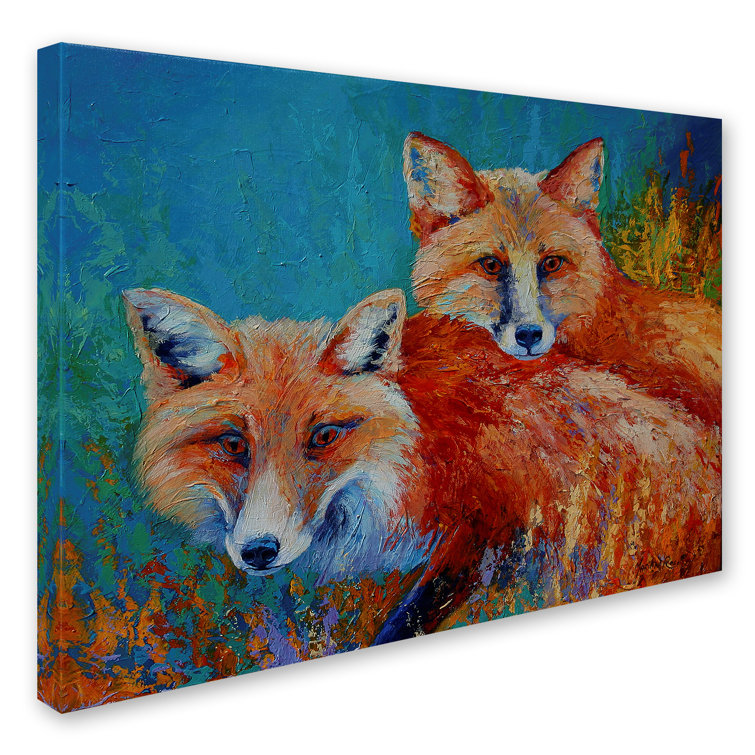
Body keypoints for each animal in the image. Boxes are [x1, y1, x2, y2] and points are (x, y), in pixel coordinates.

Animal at [124, 287, 720, 644]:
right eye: (232, 444)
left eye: (323, 437)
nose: (259, 551)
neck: (426, 448)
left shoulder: (493, 523)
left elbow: (405, 620)